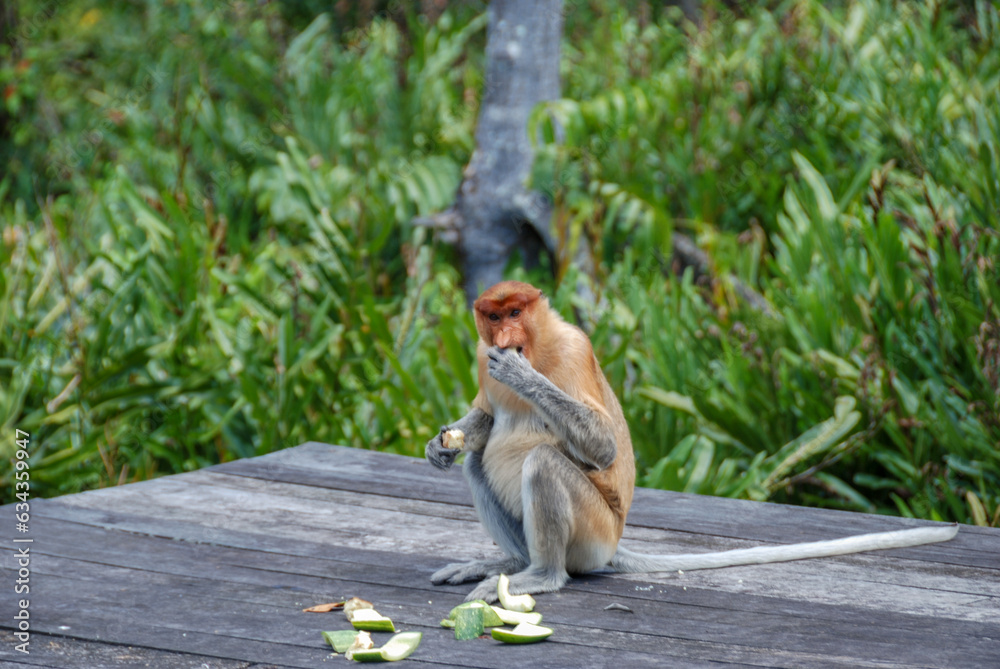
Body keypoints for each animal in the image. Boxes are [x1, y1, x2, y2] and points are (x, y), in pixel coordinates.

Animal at [425, 280, 958, 602]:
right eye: (494, 318)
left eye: (516, 311)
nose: (505, 338)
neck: (536, 345)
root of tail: (612, 546)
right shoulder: (480, 356)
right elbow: (486, 420)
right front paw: (440, 446)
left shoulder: (571, 349)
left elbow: (602, 446)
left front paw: (519, 373)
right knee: (479, 462)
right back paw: (506, 561)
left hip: (595, 533)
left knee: (542, 463)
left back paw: (539, 575)